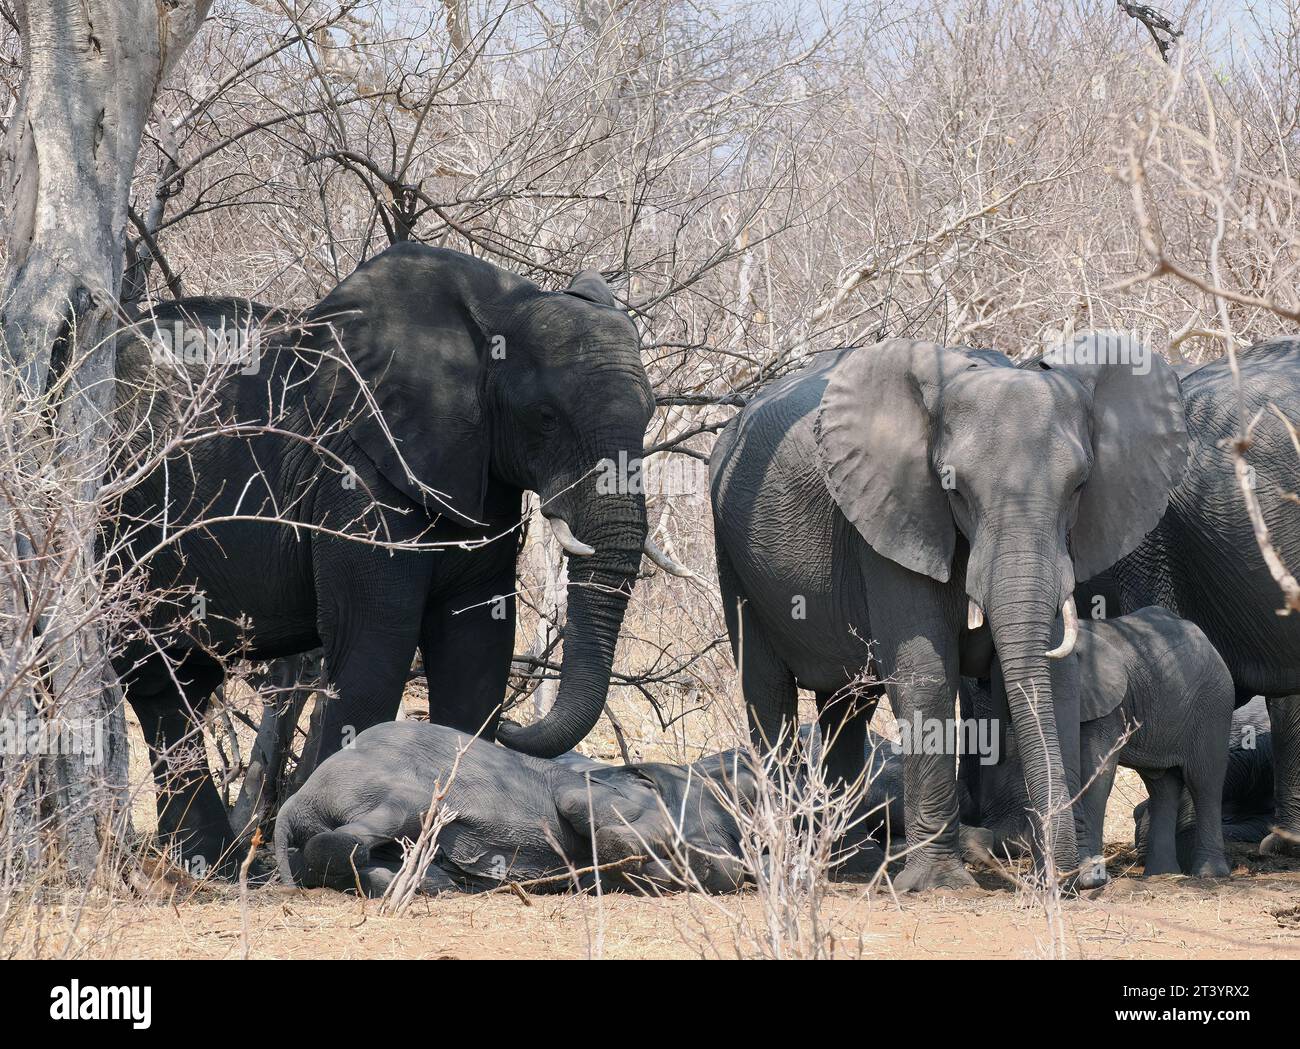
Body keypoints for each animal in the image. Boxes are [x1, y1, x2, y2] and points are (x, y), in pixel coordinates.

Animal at [111, 243, 682, 875]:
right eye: (545, 417)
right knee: (149, 675)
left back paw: (203, 862)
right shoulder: (357, 470)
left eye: (650, 412)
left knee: (176, 680)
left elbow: (476, 640)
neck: (501, 308)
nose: (514, 725)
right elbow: (376, 640)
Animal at [273, 720, 753, 896]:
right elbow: (581, 805)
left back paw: (429, 878)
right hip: (400, 789)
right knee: (347, 838)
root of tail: (298, 799)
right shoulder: (595, 786)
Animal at [709, 334, 1188, 890]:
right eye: (953, 488)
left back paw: (850, 863)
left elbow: (1056, 679)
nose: (1084, 880)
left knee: (847, 710)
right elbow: (926, 670)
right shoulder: (893, 511)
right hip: (732, 550)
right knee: (767, 694)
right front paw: (939, 884)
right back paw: (790, 862)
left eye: (1079, 487)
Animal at [962, 607, 1234, 888]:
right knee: (1162, 785)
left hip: (1214, 705)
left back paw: (1209, 873)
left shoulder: (1108, 706)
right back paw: (1160, 873)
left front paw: (1088, 879)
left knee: (1204, 781)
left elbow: (1095, 770)